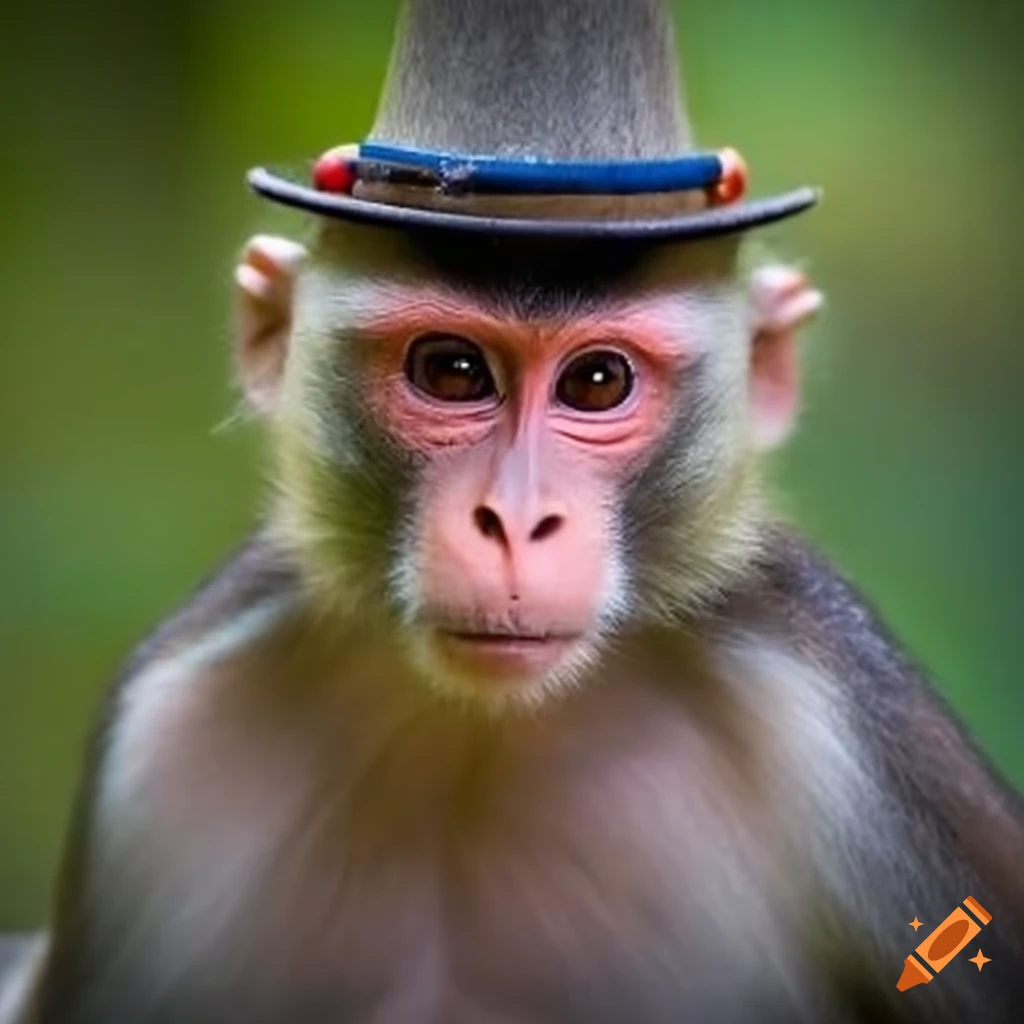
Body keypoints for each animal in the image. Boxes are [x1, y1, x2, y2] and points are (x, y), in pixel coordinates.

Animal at [5, 2, 1024, 1022]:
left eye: (598, 380)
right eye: (453, 371)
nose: (514, 520)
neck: (487, 725)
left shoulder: (851, 728)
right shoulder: (155, 740)